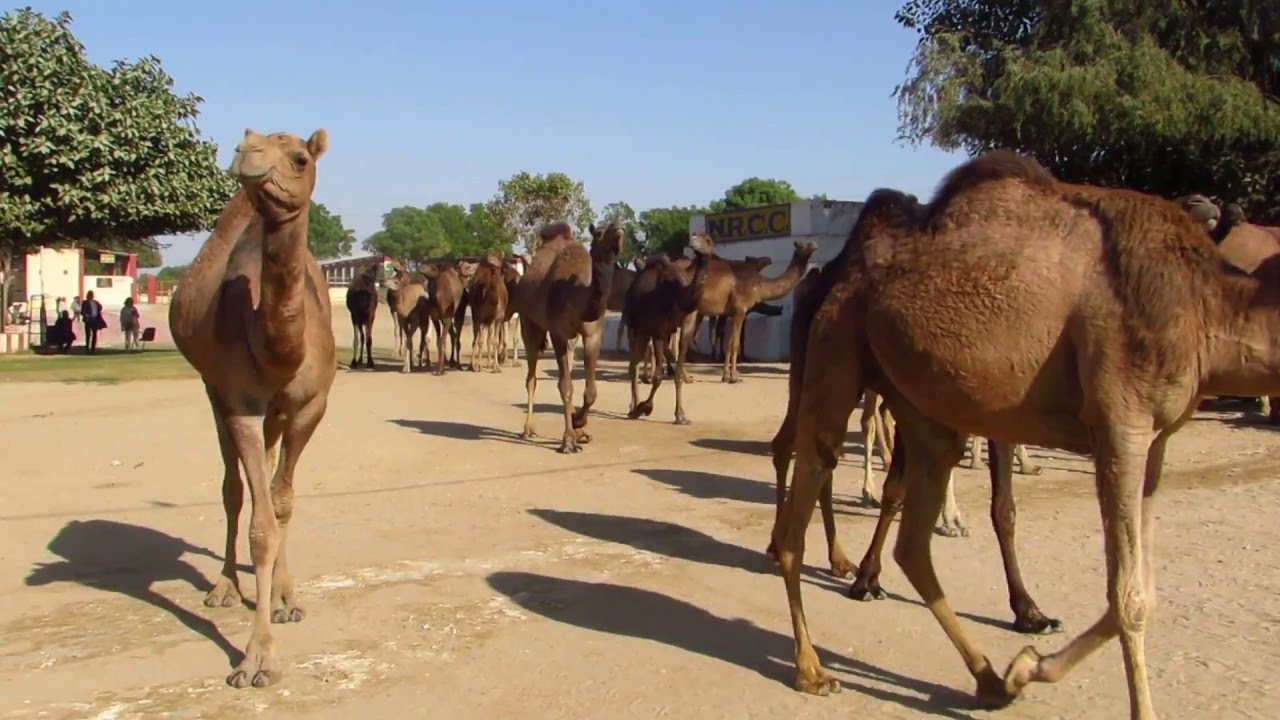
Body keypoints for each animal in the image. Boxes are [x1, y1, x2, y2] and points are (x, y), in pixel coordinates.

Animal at [169, 127, 335, 689]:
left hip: (279, 413)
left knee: (265, 472)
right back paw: (223, 587)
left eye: (300, 157)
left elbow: (282, 505)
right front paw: (258, 658)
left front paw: (284, 599)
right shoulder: (239, 399)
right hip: (211, 388)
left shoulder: (310, 406)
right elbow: (259, 522)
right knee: (233, 488)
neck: (279, 348)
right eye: (255, 140)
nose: (248, 155)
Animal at [517, 220, 624, 453]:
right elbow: (565, 386)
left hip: (572, 341)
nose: (618, 228)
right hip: (528, 323)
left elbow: (590, 391)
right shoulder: (558, 333)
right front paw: (568, 440)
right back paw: (528, 429)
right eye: (599, 233)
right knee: (531, 377)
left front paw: (578, 425)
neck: (578, 297)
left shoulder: (593, 335)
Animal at [623, 234, 715, 424]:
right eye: (695, 236)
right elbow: (657, 377)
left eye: (708, 240)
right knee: (633, 367)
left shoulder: (685, 328)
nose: (693, 241)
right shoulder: (659, 331)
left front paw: (681, 416)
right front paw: (645, 407)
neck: (680, 295)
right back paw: (633, 408)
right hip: (635, 327)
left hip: (648, 331)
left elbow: (677, 371)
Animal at [772, 151, 1280, 718]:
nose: (1211, 204)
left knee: (912, 541)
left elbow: (1141, 587)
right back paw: (812, 666)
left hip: (924, 408)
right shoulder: (1119, 423)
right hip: (837, 345)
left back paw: (990, 679)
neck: (1203, 304)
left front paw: (1025, 662)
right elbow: (1128, 595)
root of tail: (841, 273)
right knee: (809, 488)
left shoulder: (1156, 441)